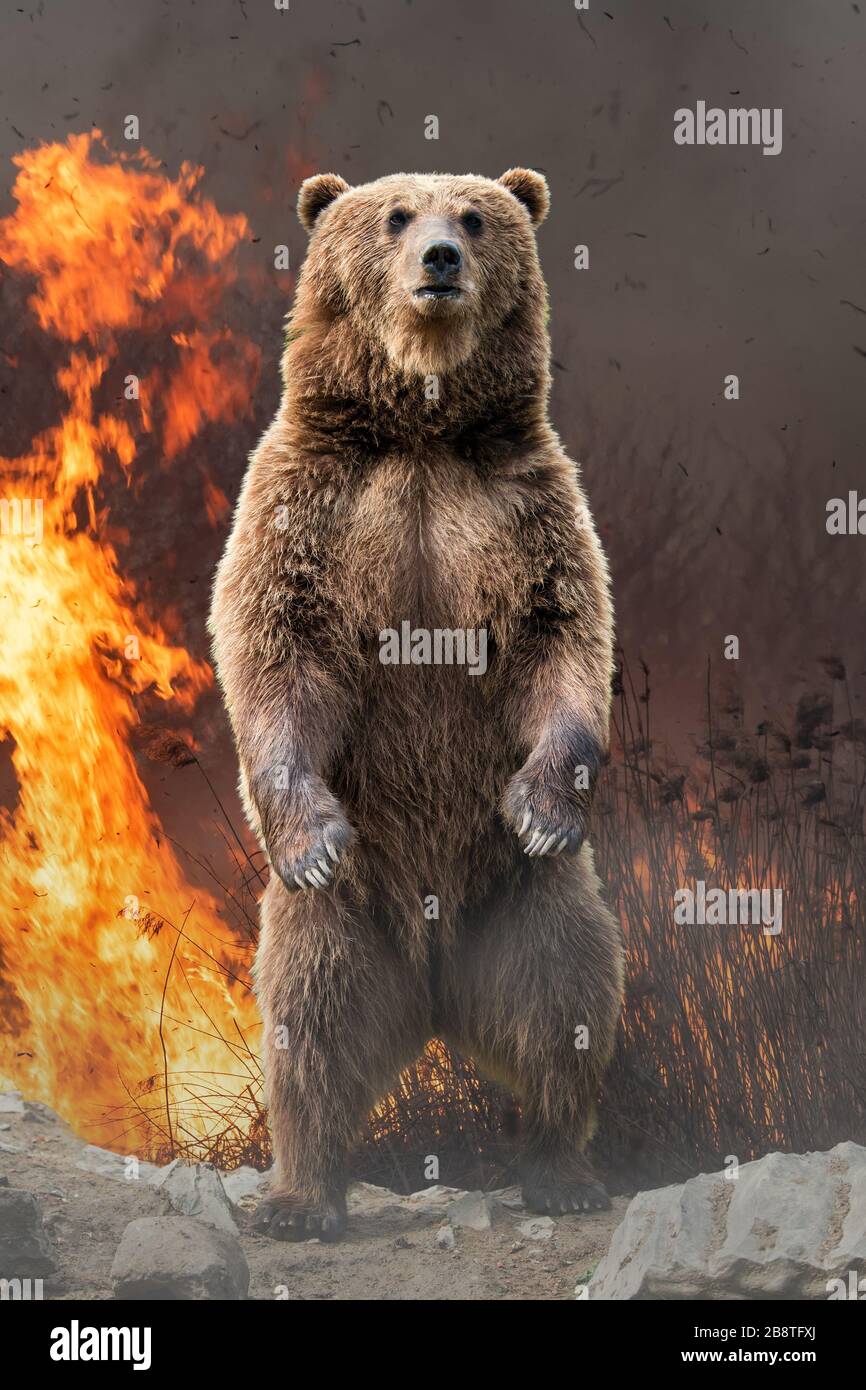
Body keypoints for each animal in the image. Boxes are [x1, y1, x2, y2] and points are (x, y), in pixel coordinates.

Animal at [209, 168, 624, 1241]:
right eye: (395, 216)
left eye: (475, 217)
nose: (440, 258)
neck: (421, 431)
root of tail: (435, 998)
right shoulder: (310, 503)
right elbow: (276, 646)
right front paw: (308, 832)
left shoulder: (525, 506)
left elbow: (562, 639)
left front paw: (542, 804)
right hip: (343, 922)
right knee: (309, 1030)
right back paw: (300, 1196)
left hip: (528, 902)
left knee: (565, 1003)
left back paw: (562, 1170)